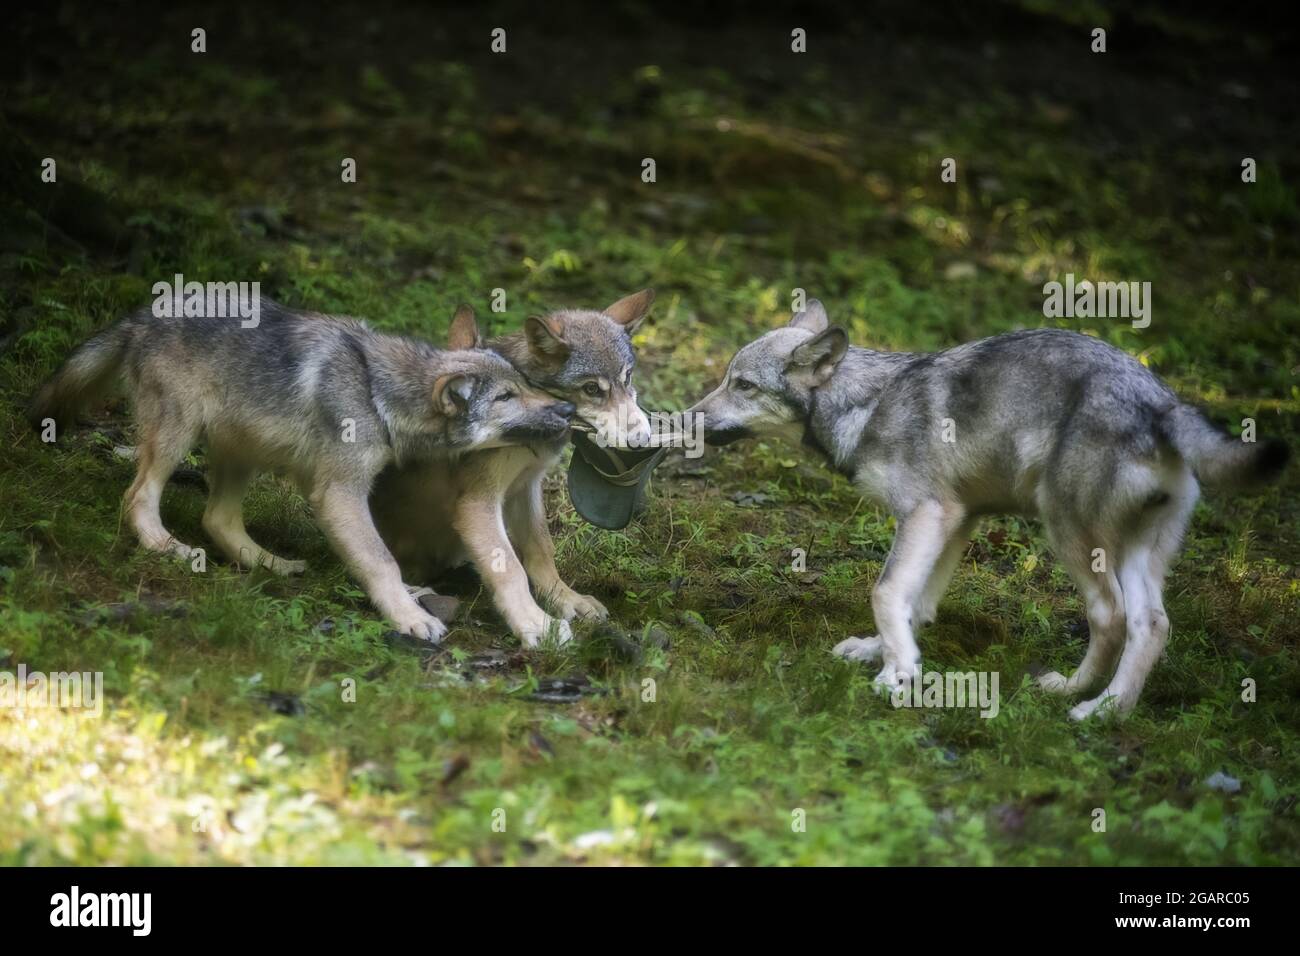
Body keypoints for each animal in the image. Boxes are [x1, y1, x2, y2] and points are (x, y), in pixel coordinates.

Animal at [29, 300, 575, 641]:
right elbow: (381, 560)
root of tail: (142, 315)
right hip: (178, 437)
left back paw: (271, 564)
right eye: (507, 397)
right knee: (139, 497)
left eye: (527, 384)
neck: (379, 393)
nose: (568, 410)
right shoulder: (339, 494)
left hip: (240, 452)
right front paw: (408, 617)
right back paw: (172, 550)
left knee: (217, 519)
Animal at [371, 290, 656, 646]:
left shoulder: (526, 486)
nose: (642, 439)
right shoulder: (477, 504)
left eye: (627, 377)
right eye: (591, 389)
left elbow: (541, 550)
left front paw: (566, 600)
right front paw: (536, 625)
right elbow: (510, 568)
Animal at [690, 299, 1288, 719]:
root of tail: (1161, 401)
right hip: (1133, 553)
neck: (866, 405)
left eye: (742, 385)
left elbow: (885, 592)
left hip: (1069, 534)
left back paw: (1078, 698)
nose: (690, 416)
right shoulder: (955, 521)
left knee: (1111, 616)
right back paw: (1105, 711)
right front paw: (884, 654)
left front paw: (897, 674)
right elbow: (915, 605)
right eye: (726, 379)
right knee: (1152, 624)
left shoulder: (925, 514)